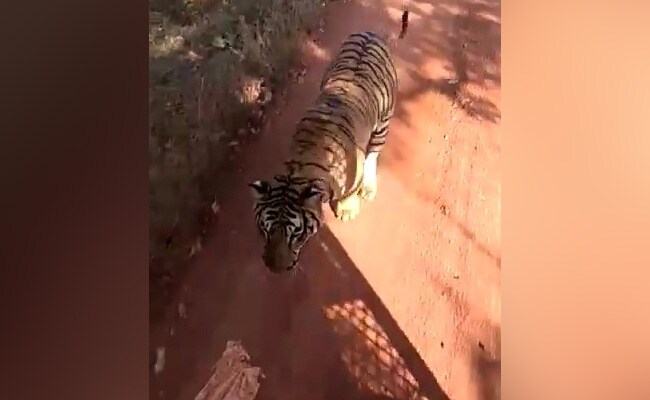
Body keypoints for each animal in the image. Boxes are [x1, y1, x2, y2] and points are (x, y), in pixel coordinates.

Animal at [249, 6, 410, 273]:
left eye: (296, 234)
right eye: (266, 229)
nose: (275, 268)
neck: (300, 169)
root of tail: (375, 33)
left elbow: (349, 191)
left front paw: (347, 209)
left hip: (384, 121)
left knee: (374, 154)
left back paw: (369, 187)